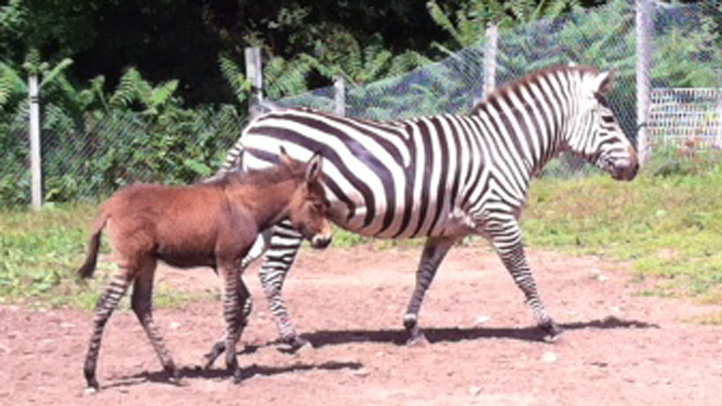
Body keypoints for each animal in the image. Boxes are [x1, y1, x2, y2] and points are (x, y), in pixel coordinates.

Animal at [202, 65, 638, 365]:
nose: (635, 167)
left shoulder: (446, 230)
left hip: (264, 224)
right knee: (270, 276)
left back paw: (228, 339)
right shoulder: (501, 220)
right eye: (609, 119)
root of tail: (255, 126)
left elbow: (424, 276)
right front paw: (550, 325)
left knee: (239, 272)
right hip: (288, 224)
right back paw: (292, 339)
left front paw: (412, 328)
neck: (505, 146)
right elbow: (524, 275)